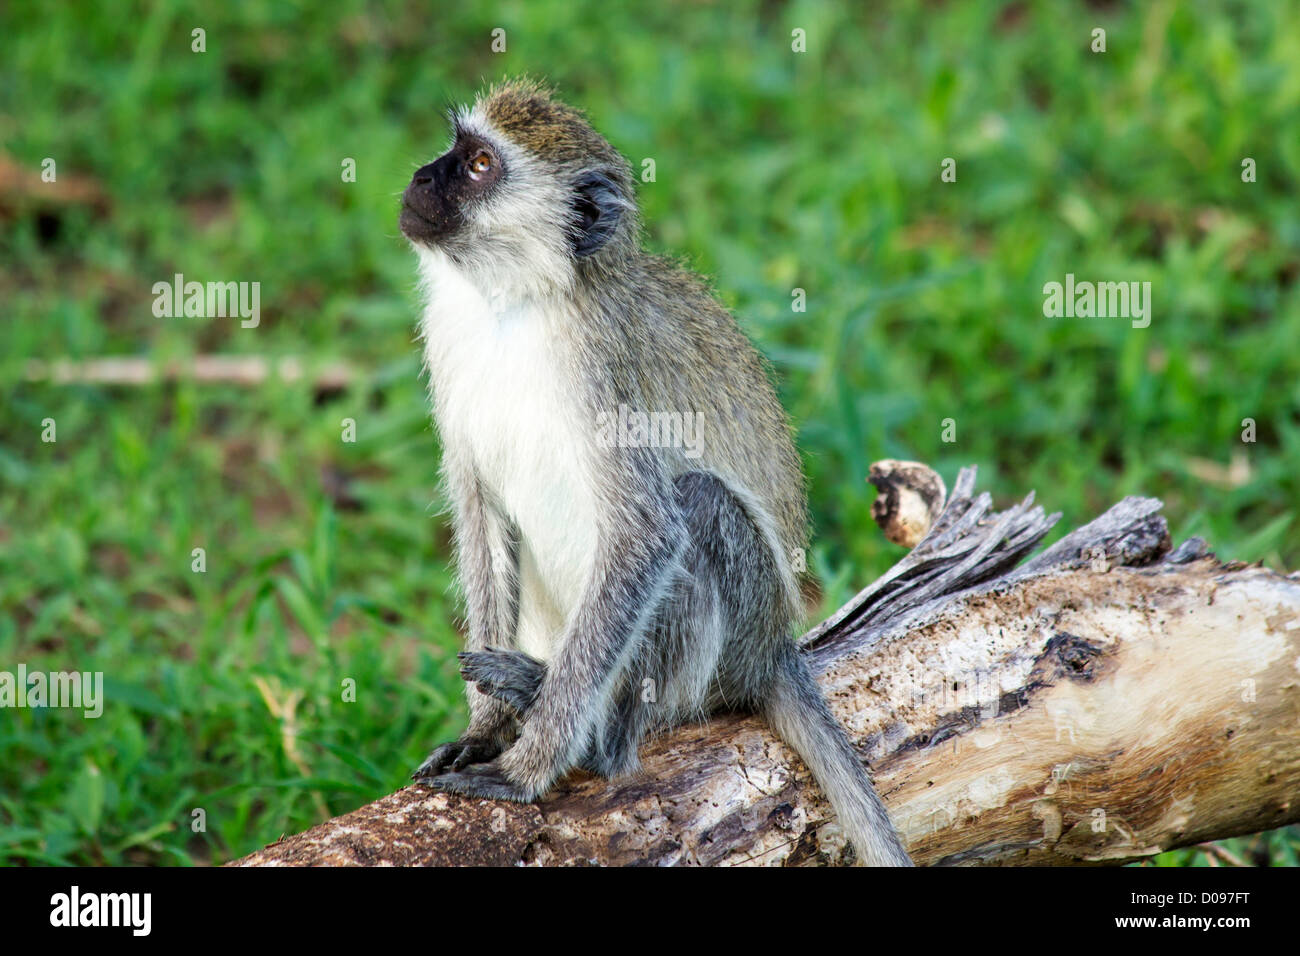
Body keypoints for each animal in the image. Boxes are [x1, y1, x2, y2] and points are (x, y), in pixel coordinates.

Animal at [400, 78, 912, 866]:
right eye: (455, 149)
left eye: (480, 164)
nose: (422, 177)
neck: (520, 304)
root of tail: (775, 647)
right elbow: (479, 513)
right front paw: (485, 732)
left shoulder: (605, 372)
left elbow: (646, 536)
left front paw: (524, 769)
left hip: (738, 636)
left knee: (698, 504)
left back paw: (592, 733)